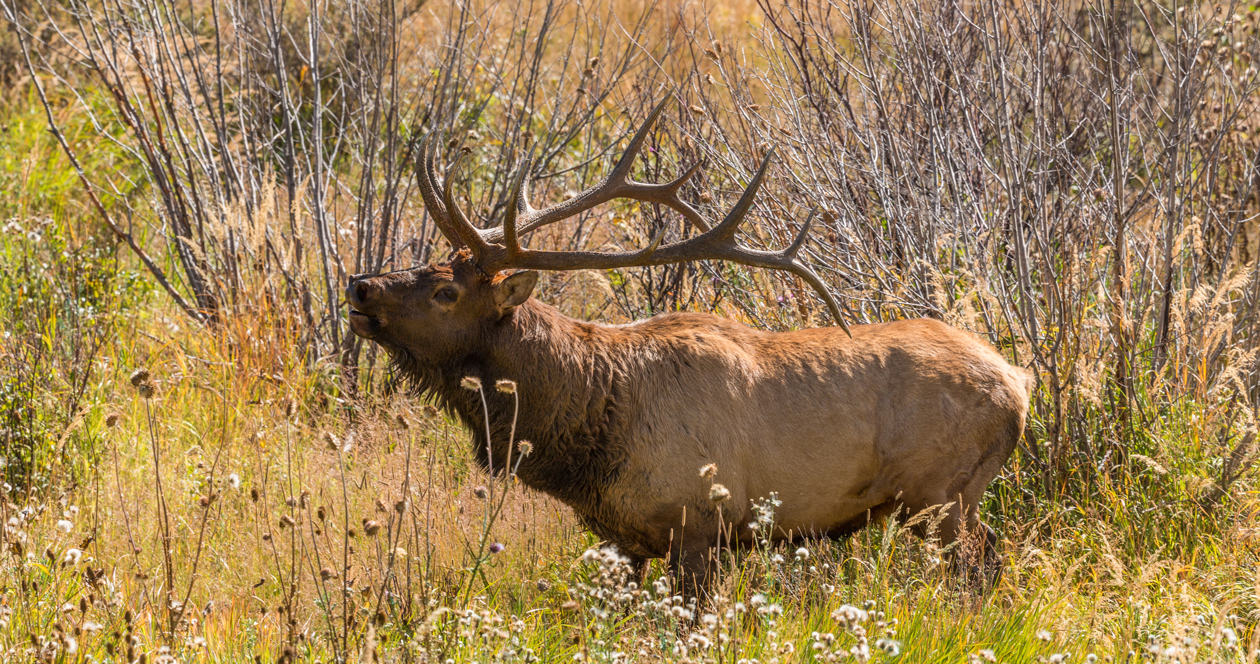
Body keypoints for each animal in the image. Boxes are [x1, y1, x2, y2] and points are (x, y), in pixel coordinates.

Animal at [345, 101, 1034, 594]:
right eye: (428, 266)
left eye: (445, 292)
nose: (359, 285)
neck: (588, 426)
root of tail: (1020, 383)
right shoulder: (620, 537)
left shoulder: (699, 523)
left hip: (943, 492)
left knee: (982, 568)